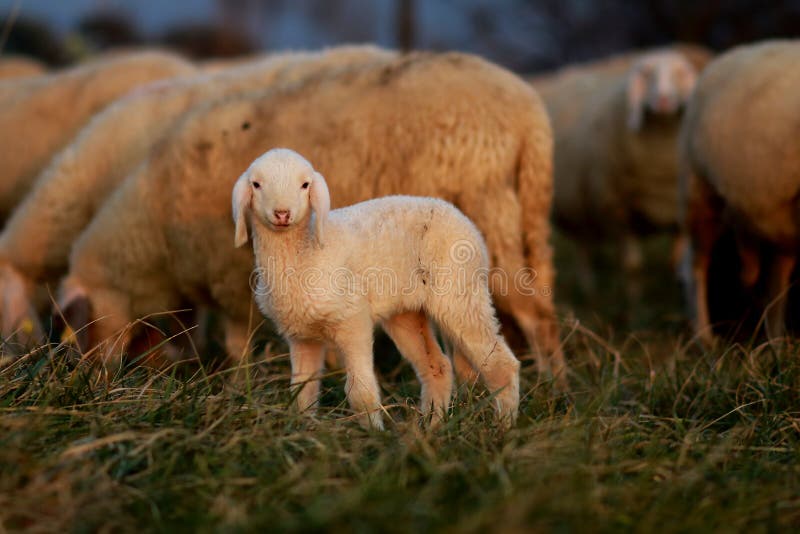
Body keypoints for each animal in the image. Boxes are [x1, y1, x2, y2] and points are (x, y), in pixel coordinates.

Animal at [56, 51, 563, 386]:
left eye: (82, 325)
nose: (90, 382)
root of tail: (531, 115)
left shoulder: (231, 279)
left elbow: (239, 343)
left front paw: (240, 389)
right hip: (522, 219)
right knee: (536, 301)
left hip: (486, 216)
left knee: (527, 311)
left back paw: (550, 386)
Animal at [233, 148, 521, 428]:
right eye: (256, 184)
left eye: (305, 185)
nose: (282, 214)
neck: (307, 252)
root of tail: (468, 224)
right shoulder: (302, 336)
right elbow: (302, 393)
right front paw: (303, 430)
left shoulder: (353, 319)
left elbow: (360, 391)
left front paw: (374, 433)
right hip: (406, 313)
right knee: (437, 366)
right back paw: (432, 427)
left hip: (459, 292)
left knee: (501, 363)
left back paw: (504, 426)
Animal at [533, 46, 712, 296]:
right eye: (647, 75)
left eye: (680, 73)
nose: (663, 99)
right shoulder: (618, 210)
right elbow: (631, 266)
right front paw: (634, 299)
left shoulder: (680, 215)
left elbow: (676, 261)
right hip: (574, 210)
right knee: (582, 249)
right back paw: (588, 286)